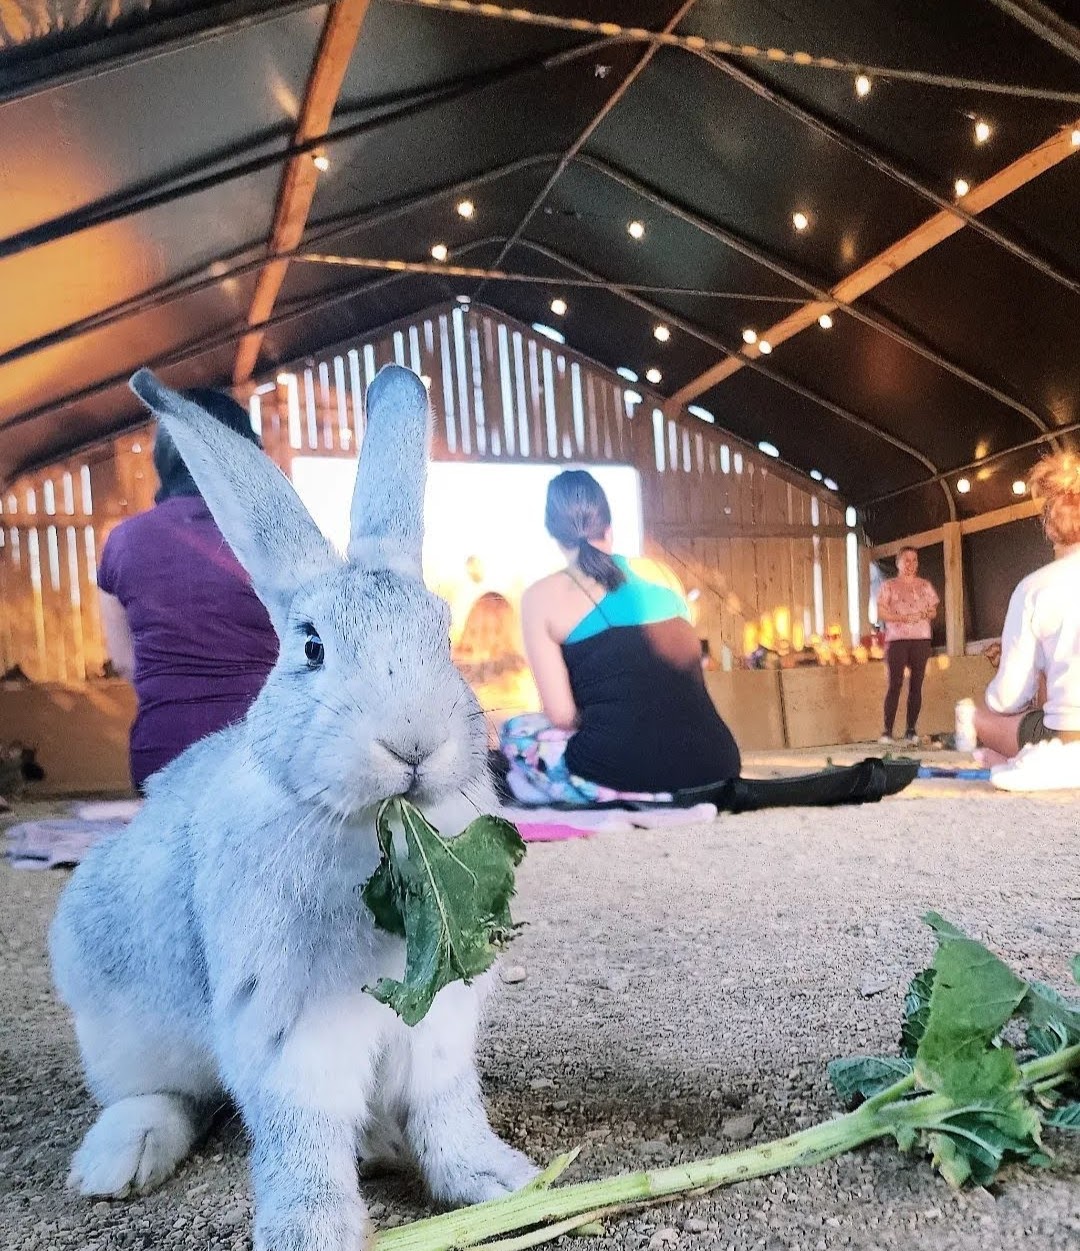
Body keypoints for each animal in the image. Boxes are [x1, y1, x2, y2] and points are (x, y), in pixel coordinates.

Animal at [49, 364, 537, 1251]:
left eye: (443, 635)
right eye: (311, 646)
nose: (413, 742)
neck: (359, 830)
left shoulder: (439, 1024)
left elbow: (448, 1107)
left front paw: (494, 1179)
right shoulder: (286, 1028)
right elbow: (300, 1129)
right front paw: (312, 1227)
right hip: (114, 1017)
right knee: (161, 1092)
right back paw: (118, 1159)